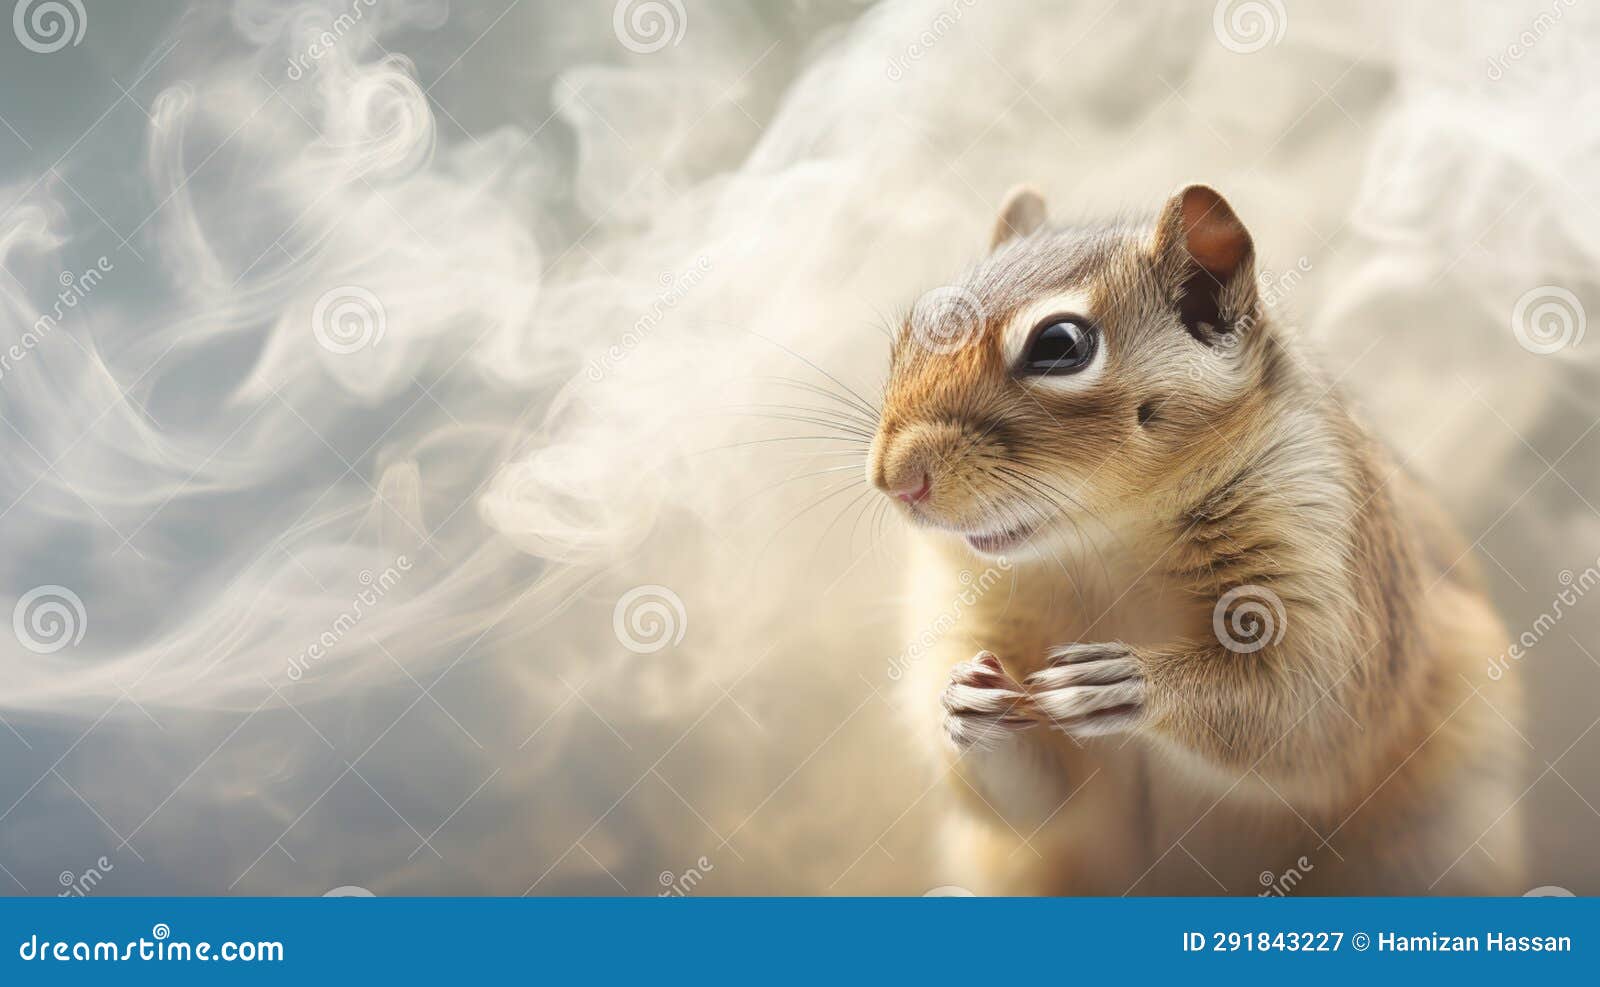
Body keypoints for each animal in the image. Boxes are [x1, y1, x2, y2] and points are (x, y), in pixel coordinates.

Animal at [868, 184, 1525, 895]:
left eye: (1060, 344)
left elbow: (1311, 706)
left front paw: (1133, 681)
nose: (895, 479)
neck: (1102, 546)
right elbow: (1038, 798)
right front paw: (963, 702)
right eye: (909, 330)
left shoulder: (1330, 549)